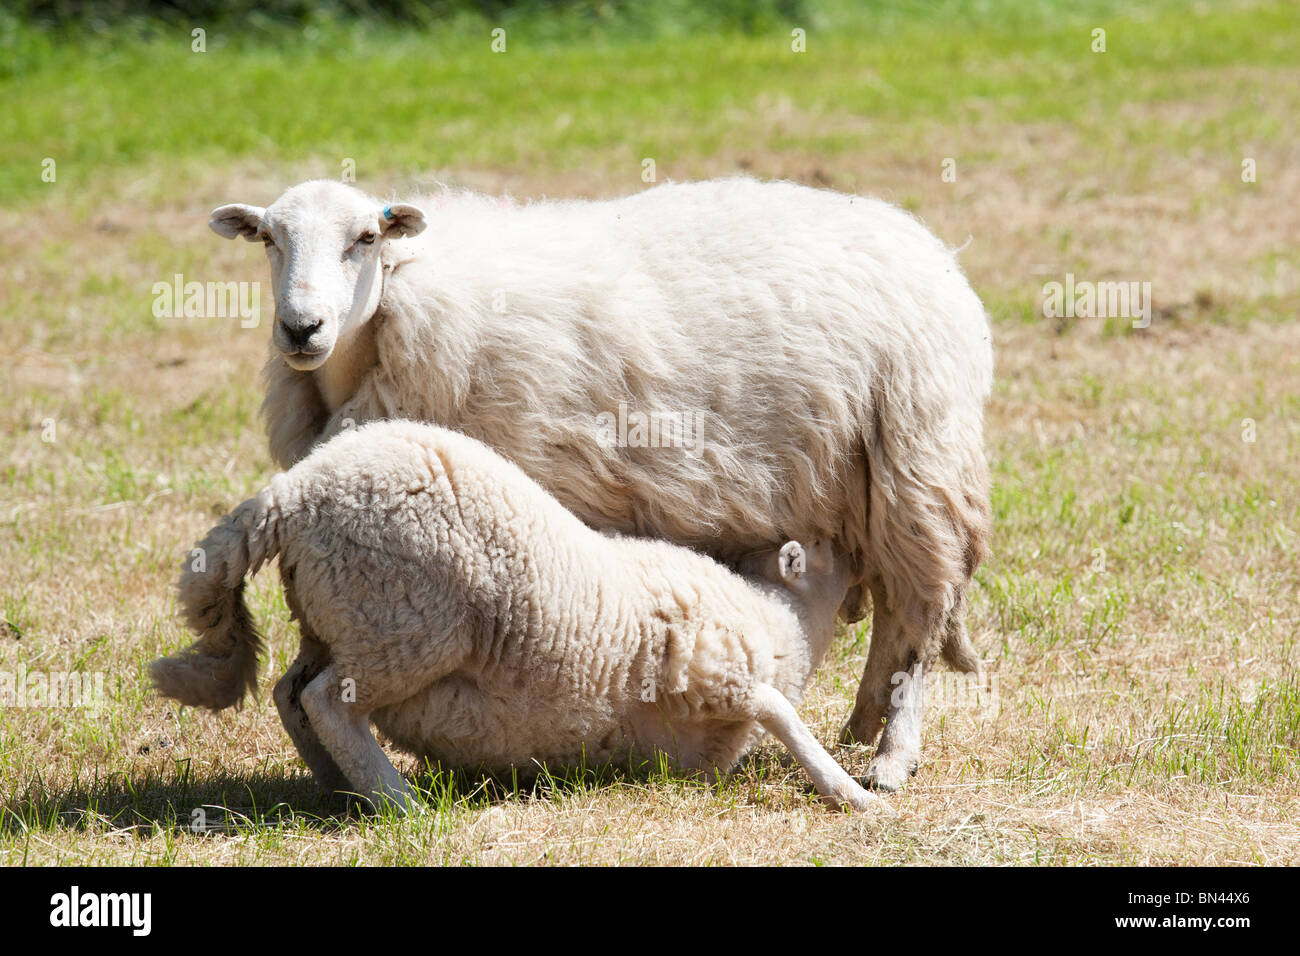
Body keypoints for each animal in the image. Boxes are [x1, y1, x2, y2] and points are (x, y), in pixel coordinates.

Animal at [151, 420, 876, 812]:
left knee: (291, 692)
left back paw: (340, 786)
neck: (780, 619)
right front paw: (853, 793)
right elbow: (783, 716)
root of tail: (293, 493)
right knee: (330, 701)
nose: (856, 553)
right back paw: (396, 801)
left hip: (337, 616)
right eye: (822, 548)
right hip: (405, 623)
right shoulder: (716, 669)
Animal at [207, 175, 994, 791]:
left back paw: (891, 756)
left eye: (367, 237)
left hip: (916, 465)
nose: (301, 327)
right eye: (268, 238)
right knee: (892, 613)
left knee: (918, 617)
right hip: (860, 491)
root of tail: (929, 250)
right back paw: (860, 725)